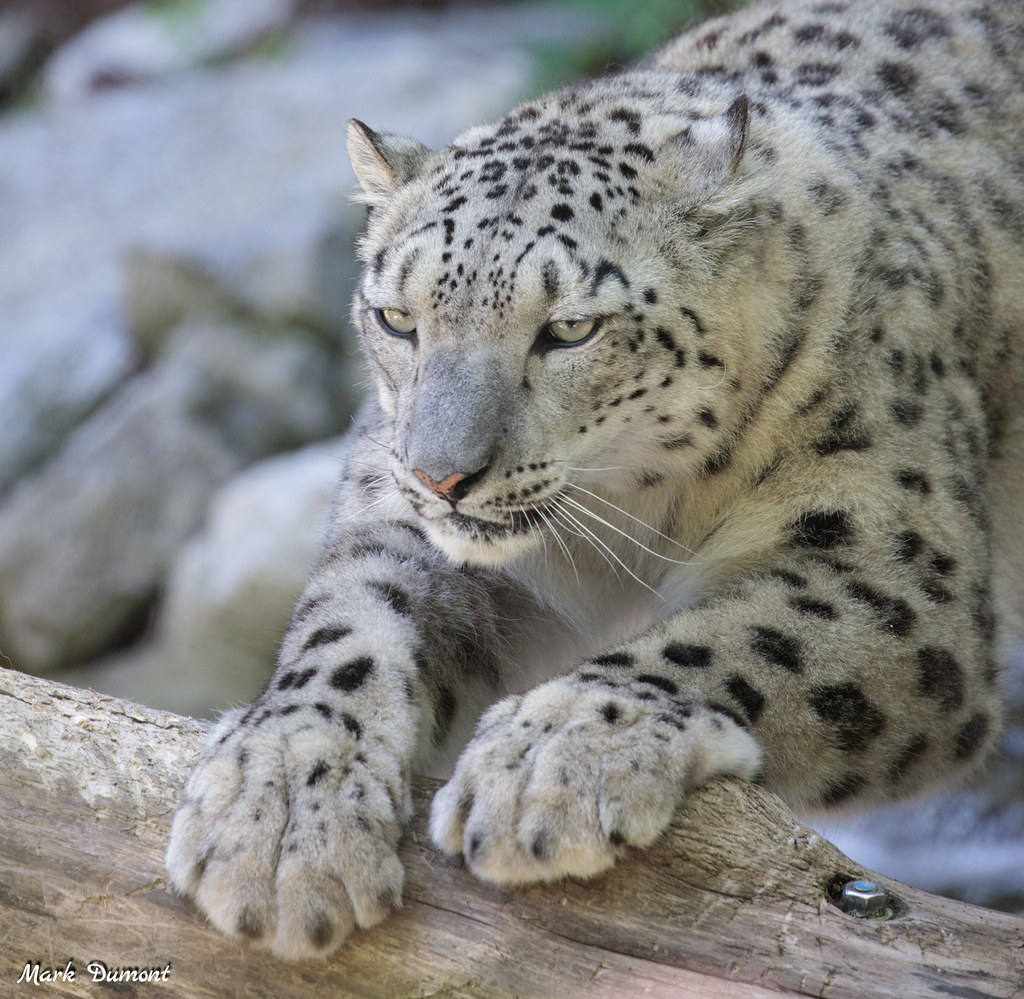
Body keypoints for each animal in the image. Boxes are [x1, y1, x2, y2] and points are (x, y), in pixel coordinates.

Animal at [167, 0, 1024, 960]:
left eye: (571, 328)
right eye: (396, 317)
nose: (440, 475)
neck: (640, 509)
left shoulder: (897, 566)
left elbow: (747, 633)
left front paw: (553, 757)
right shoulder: (397, 508)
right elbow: (356, 609)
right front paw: (280, 808)